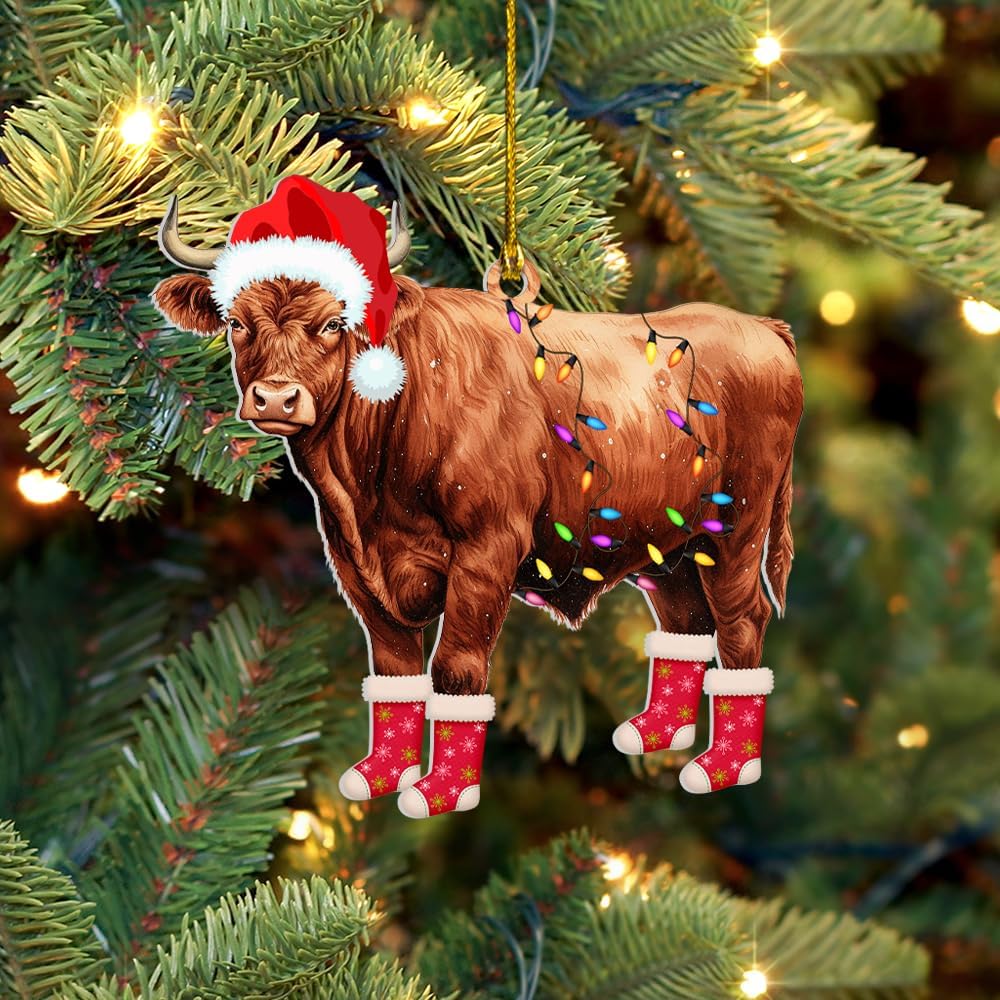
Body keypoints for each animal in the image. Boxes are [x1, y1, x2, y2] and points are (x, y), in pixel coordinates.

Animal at [151, 176, 803, 817]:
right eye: (236, 322)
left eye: (336, 323)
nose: (276, 398)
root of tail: (764, 329)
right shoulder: (352, 562)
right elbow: (394, 668)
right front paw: (381, 774)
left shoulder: (488, 546)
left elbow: (456, 668)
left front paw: (442, 789)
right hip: (669, 544)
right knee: (686, 621)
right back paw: (654, 734)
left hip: (738, 529)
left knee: (742, 622)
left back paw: (723, 765)